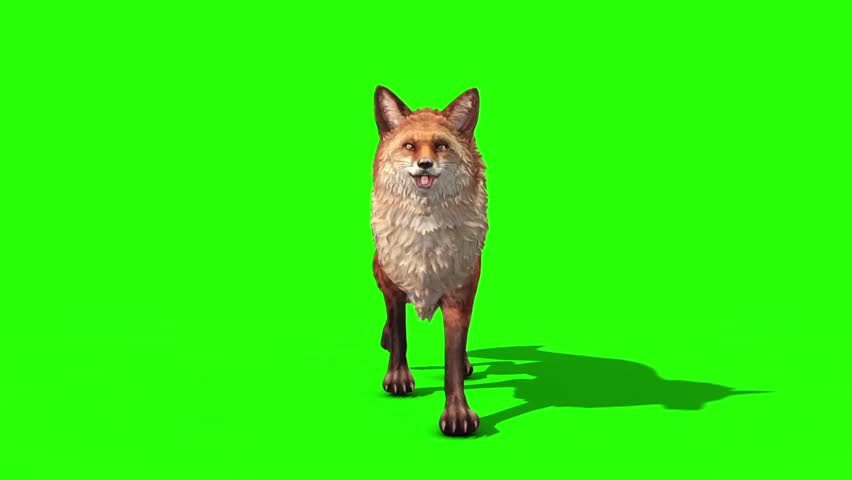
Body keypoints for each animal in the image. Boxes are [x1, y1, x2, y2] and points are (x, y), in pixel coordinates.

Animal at [371, 86, 488, 436]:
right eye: (409, 145)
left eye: (442, 146)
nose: (425, 164)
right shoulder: (393, 288)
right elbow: (400, 336)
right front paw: (398, 379)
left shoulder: (460, 294)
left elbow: (452, 361)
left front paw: (458, 415)